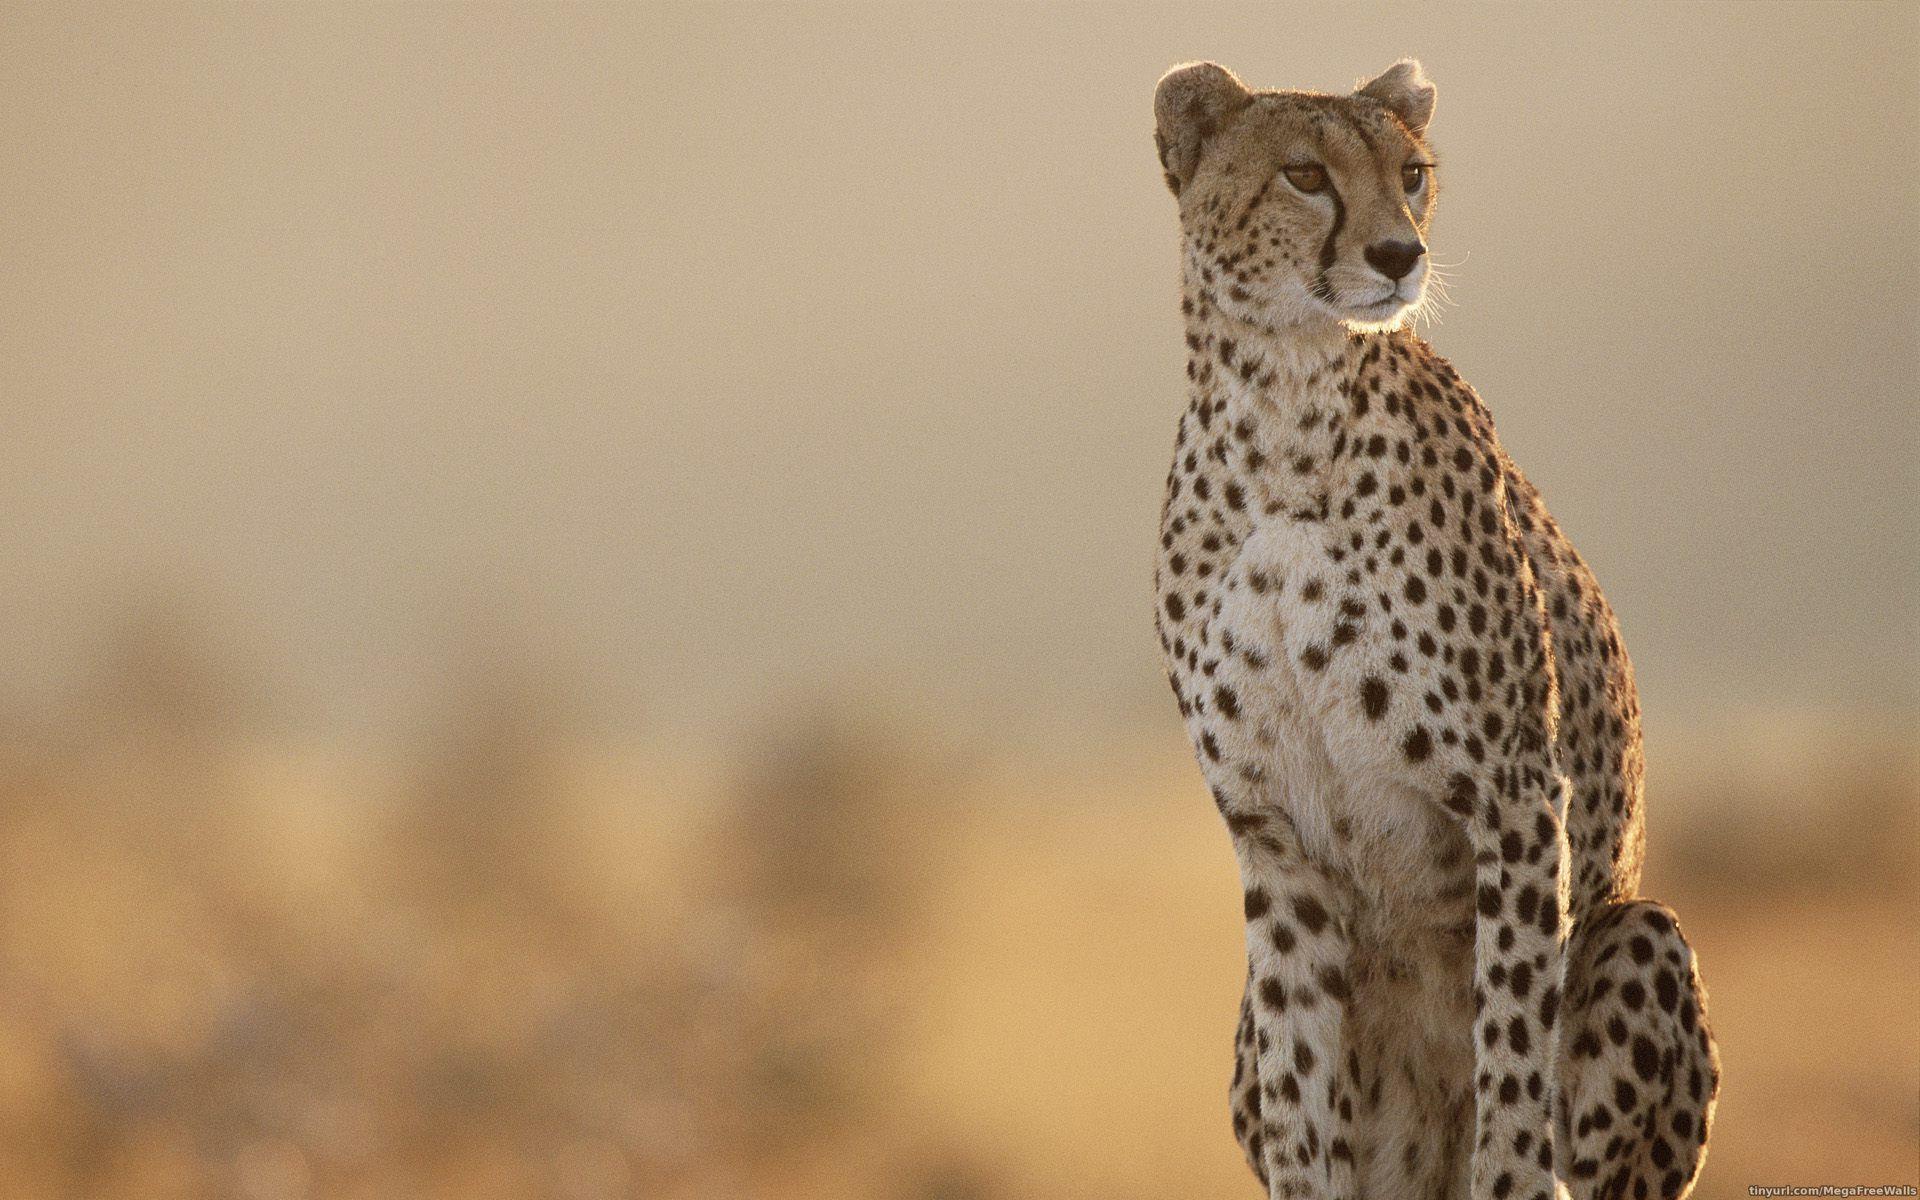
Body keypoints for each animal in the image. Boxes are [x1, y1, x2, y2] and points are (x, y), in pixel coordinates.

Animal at [1150, 59, 1719, 1200]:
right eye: (1305, 173)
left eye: (1411, 174)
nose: (1399, 253)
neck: (1281, 416)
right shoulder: (1273, 840)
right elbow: (1301, 1087)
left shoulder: (1515, 791)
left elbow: (1511, 1050)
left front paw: (1504, 1160)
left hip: (1641, 932)